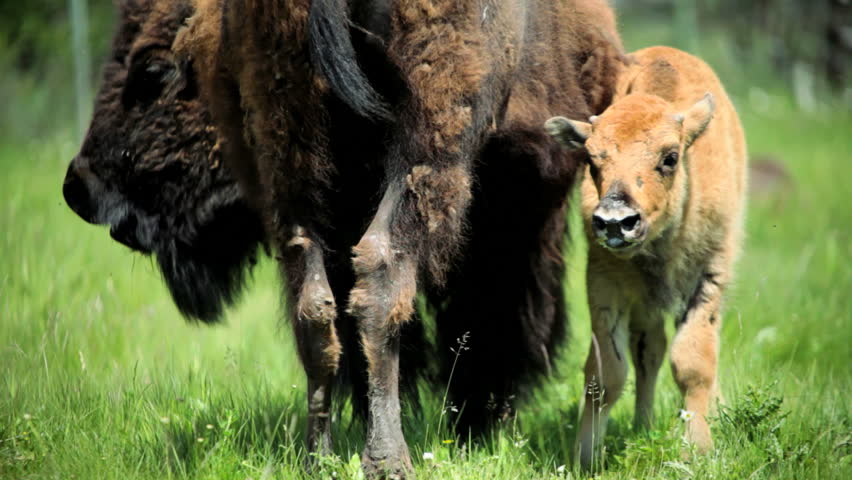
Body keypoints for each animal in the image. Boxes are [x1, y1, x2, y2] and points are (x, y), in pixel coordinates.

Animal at [175, 0, 624, 476]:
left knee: (312, 300)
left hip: (284, 143)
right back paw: (388, 459)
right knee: (381, 270)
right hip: (429, 131)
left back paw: (319, 458)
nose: (487, 419)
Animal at [545, 45, 747, 469]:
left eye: (670, 157)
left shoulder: (709, 275)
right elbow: (606, 372)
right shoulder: (604, 282)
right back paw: (642, 425)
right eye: (592, 160)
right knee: (647, 352)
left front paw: (697, 449)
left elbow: (693, 363)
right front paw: (586, 456)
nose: (615, 221)